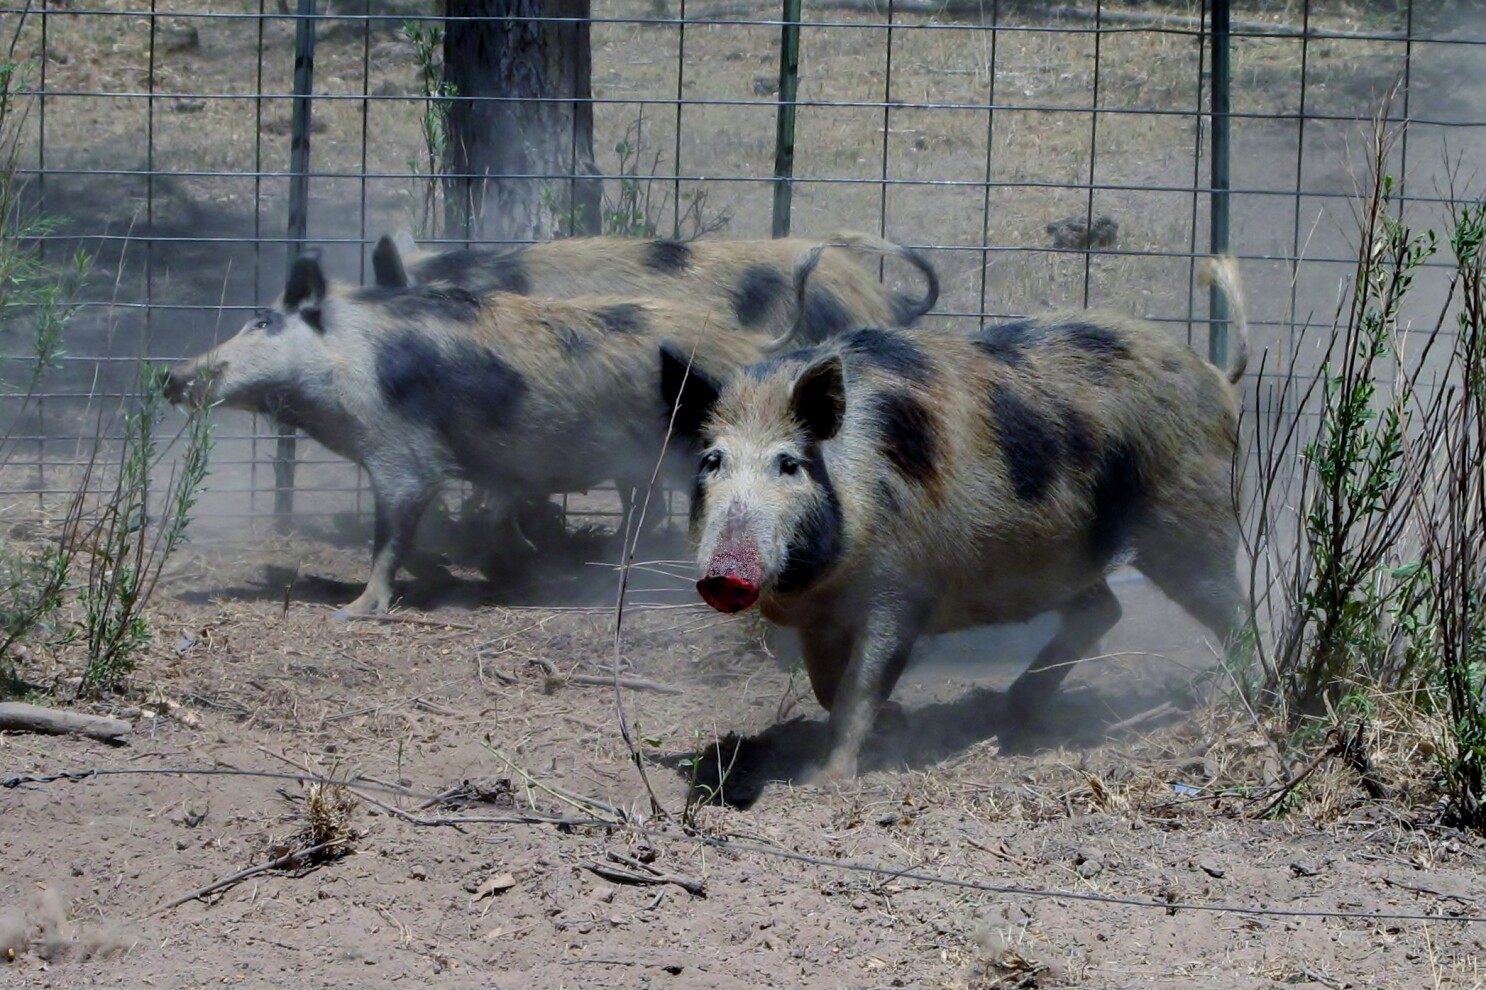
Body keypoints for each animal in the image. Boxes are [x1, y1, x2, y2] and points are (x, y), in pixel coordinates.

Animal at [164, 253, 778, 617]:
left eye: (262, 322)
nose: (172, 376)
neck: (348, 361)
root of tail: (757, 347)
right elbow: (476, 520)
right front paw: (506, 566)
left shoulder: (400, 447)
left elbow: (391, 531)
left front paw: (355, 609)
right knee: (642, 513)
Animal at [661, 257, 1250, 779]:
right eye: (712, 461)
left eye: (789, 464)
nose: (726, 575)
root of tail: (1217, 376)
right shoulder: (817, 619)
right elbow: (826, 685)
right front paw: (890, 724)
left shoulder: (902, 588)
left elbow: (859, 686)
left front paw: (824, 779)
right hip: (1065, 558)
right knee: (1104, 610)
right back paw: (1011, 708)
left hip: (1189, 521)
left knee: (1235, 612)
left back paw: (1226, 694)